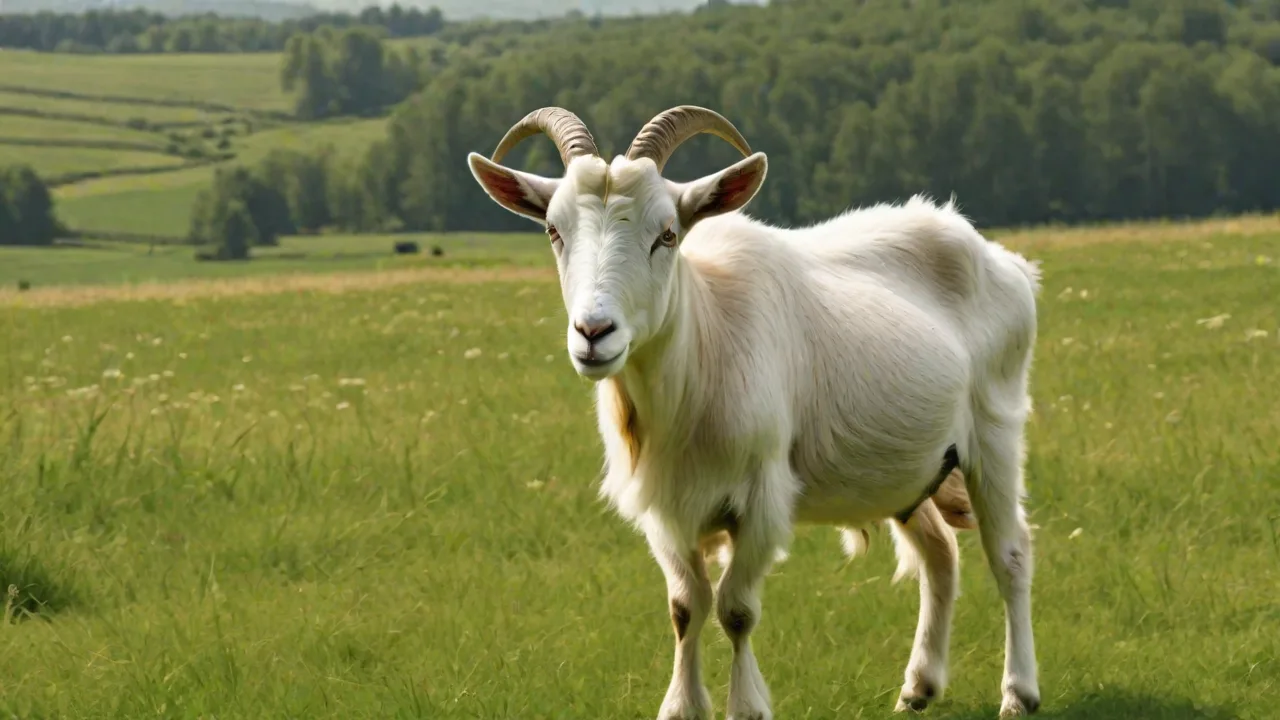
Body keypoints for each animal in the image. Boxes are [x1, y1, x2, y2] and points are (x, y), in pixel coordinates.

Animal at [467, 106, 1043, 719]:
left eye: (667, 234)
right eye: (554, 231)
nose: (594, 333)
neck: (704, 347)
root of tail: (1005, 262)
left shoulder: (763, 496)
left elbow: (736, 609)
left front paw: (746, 707)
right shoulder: (665, 509)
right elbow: (685, 607)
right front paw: (681, 706)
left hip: (996, 425)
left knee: (1009, 553)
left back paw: (1018, 692)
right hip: (909, 470)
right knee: (939, 555)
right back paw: (919, 687)